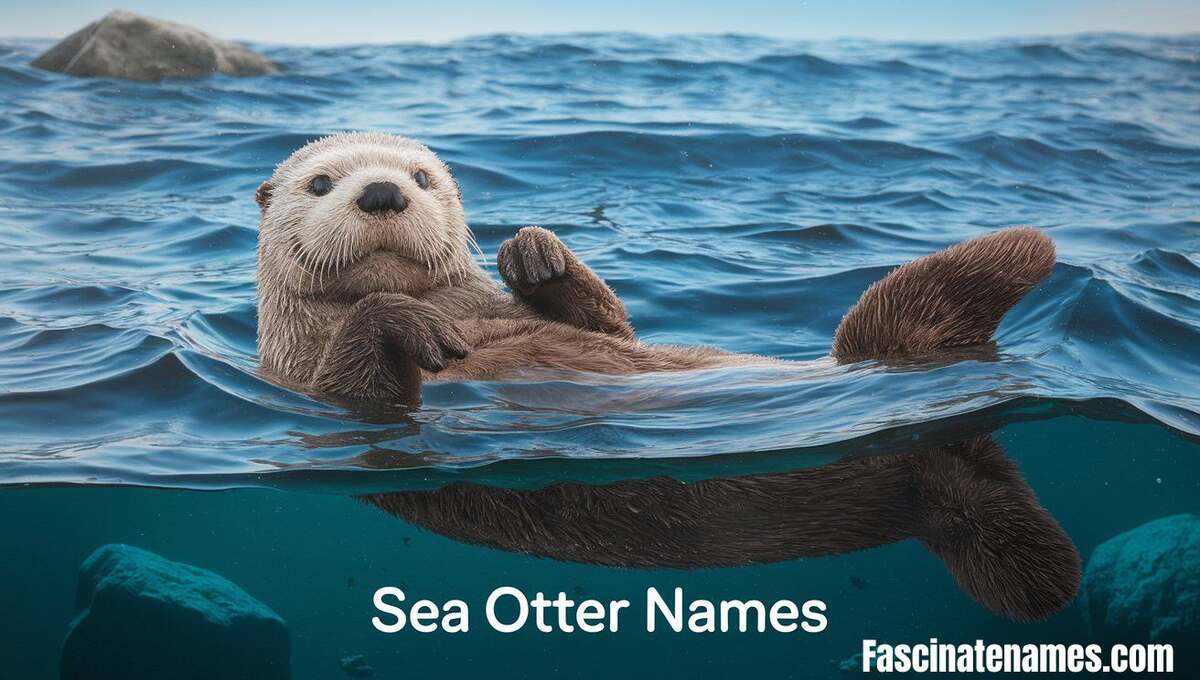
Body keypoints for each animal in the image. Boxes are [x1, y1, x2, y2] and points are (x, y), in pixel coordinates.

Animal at [256, 132, 1055, 404]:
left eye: (421, 176)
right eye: (321, 183)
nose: (383, 191)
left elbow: (616, 328)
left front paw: (535, 255)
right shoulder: (300, 374)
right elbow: (358, 387)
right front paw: (402, 319)